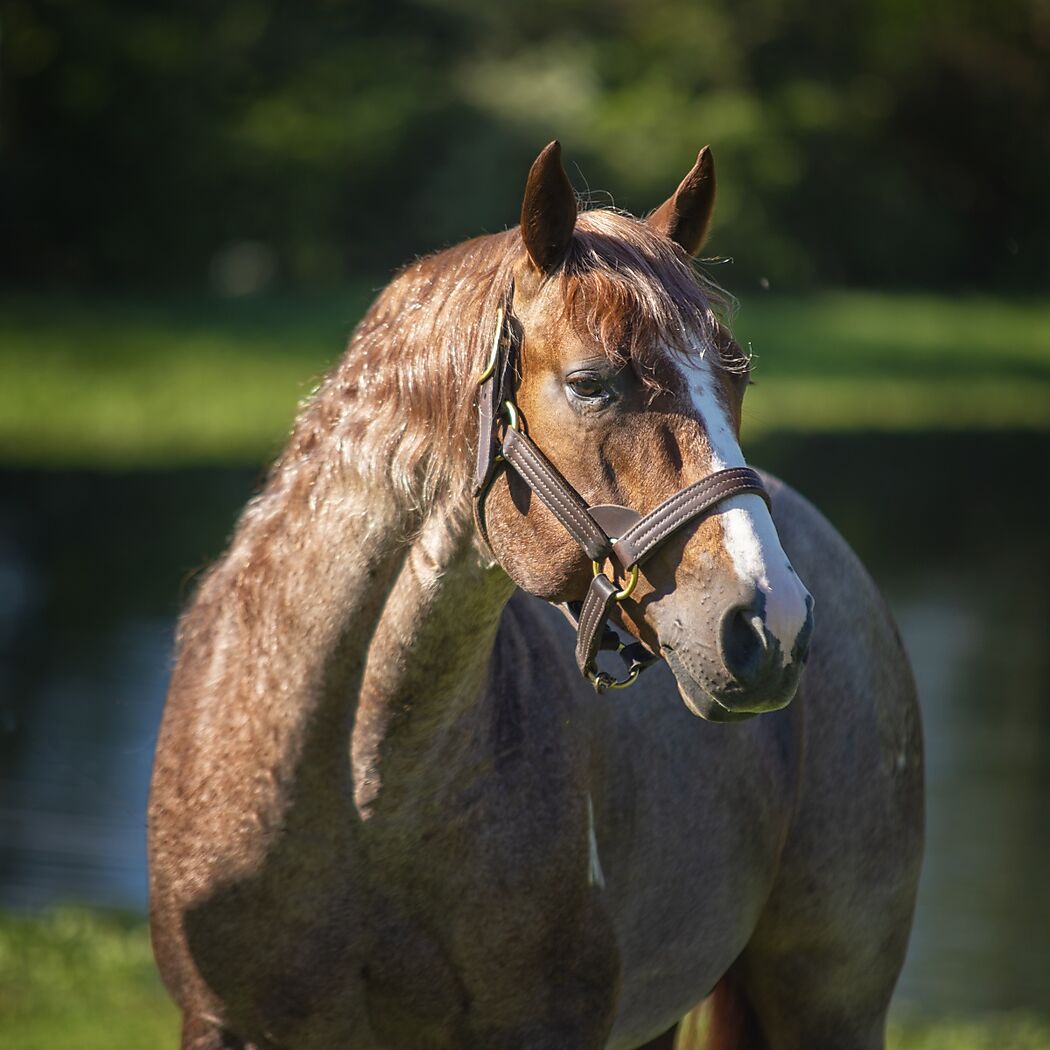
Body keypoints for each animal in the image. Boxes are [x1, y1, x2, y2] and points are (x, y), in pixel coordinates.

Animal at [148, 141, 924, 1050]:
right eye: (591, 384)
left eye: (738, 380)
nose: (774, 626)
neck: (356, 785)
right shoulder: (216, 1022)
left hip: (830, 1003)